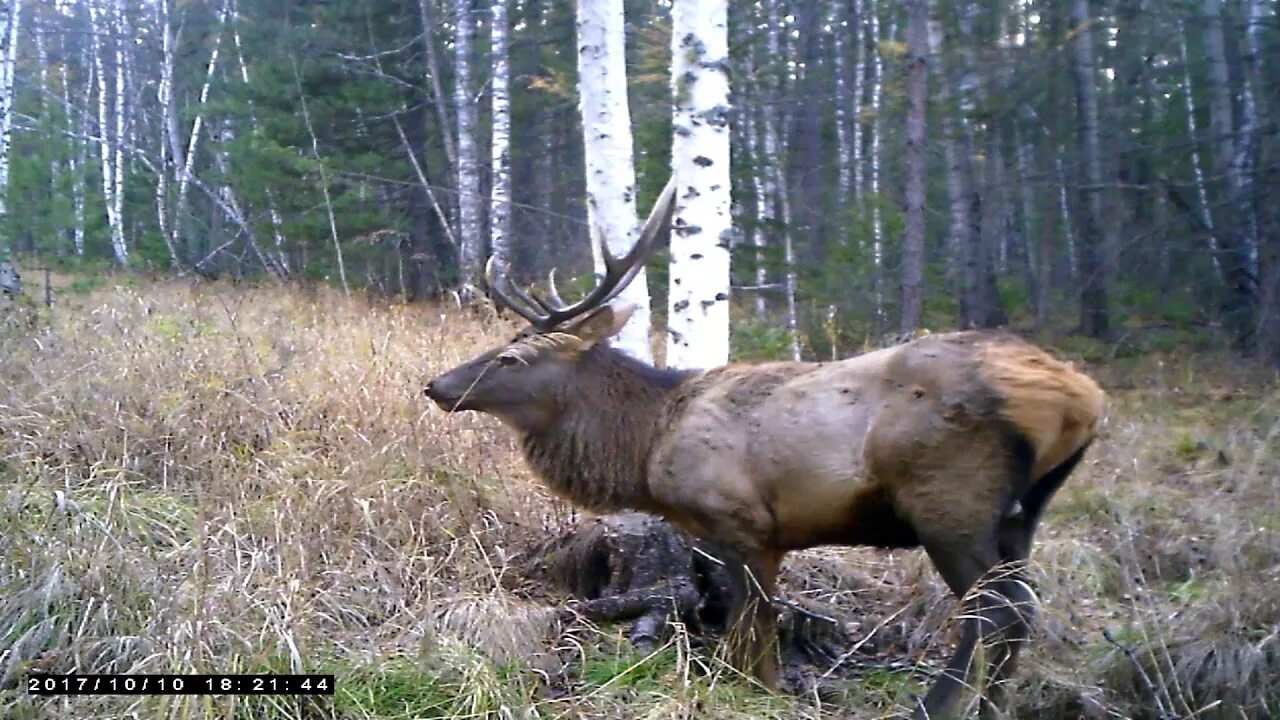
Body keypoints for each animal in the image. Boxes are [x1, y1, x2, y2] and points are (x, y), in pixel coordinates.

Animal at [424, 175, 1105, 717]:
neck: (647, 444)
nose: (437, 385)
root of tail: (1084, 397)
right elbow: (761, 625)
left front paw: (754, 691)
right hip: (1022, 510)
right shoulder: (768, 535)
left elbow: (750, 627)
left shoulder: (740, 518)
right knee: (1022, 604)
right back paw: (989, 707)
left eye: (510, 358)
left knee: (994, 608)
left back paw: (934, 706)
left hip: (949, 496)